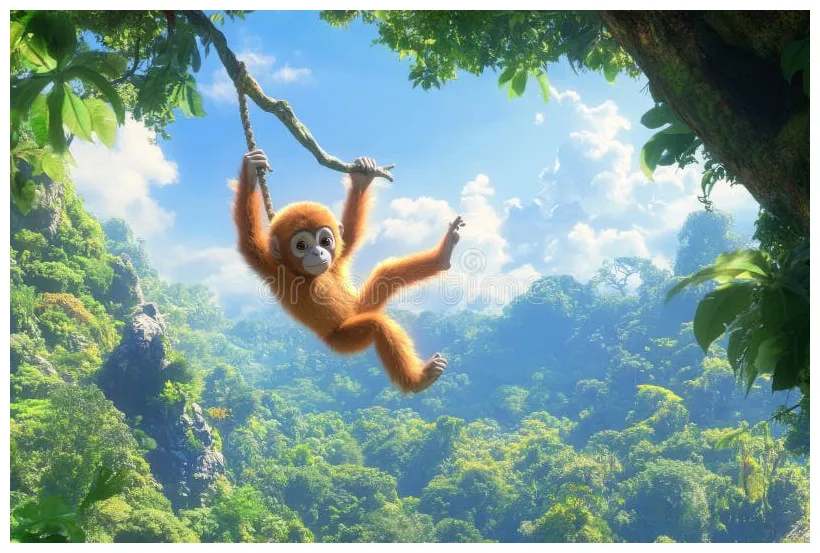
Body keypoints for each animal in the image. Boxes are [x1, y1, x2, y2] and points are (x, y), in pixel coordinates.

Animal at [233, 149, 465, 393]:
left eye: (325, 241)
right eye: (301, 245)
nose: (318, 253)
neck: (311, 276)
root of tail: (354, 314)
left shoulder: (335, 262)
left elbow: (350, 237)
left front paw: (362, 178)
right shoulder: (275, 270)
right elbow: (248, 243)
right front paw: (250, 171)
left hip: (361, 305)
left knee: (387, 275)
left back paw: (443, 257)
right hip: (343, 338)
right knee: (376, 324)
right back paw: (420, 380)